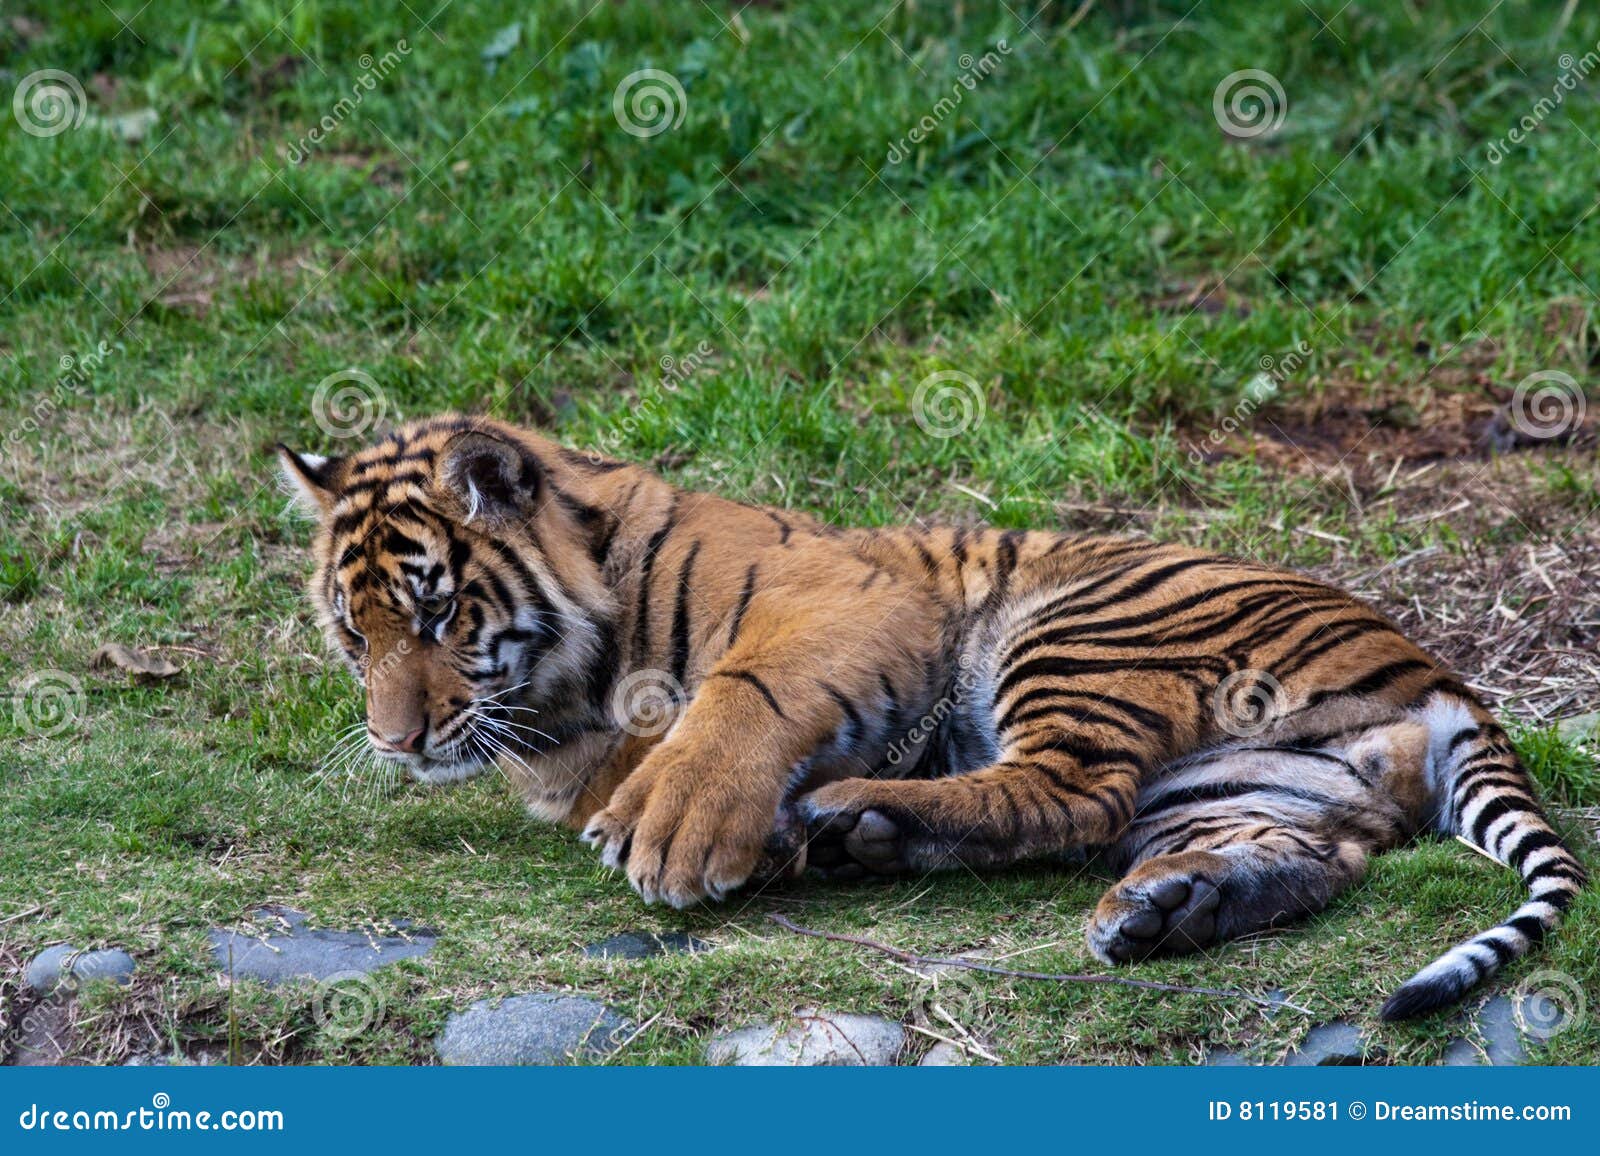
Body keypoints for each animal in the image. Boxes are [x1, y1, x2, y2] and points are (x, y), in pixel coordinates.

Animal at [279, 414, 1586, 1020]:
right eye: (354, 632)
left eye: (438, 614)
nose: (394, 740)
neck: (575, 682)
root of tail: (1440, 674)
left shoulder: (850, 597)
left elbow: (736, 695)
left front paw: (680, 823)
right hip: (1252, 781)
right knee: (1297, 857)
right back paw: (1165, 907)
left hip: (1072, 628)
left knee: (1070, 789)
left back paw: (848, 816)